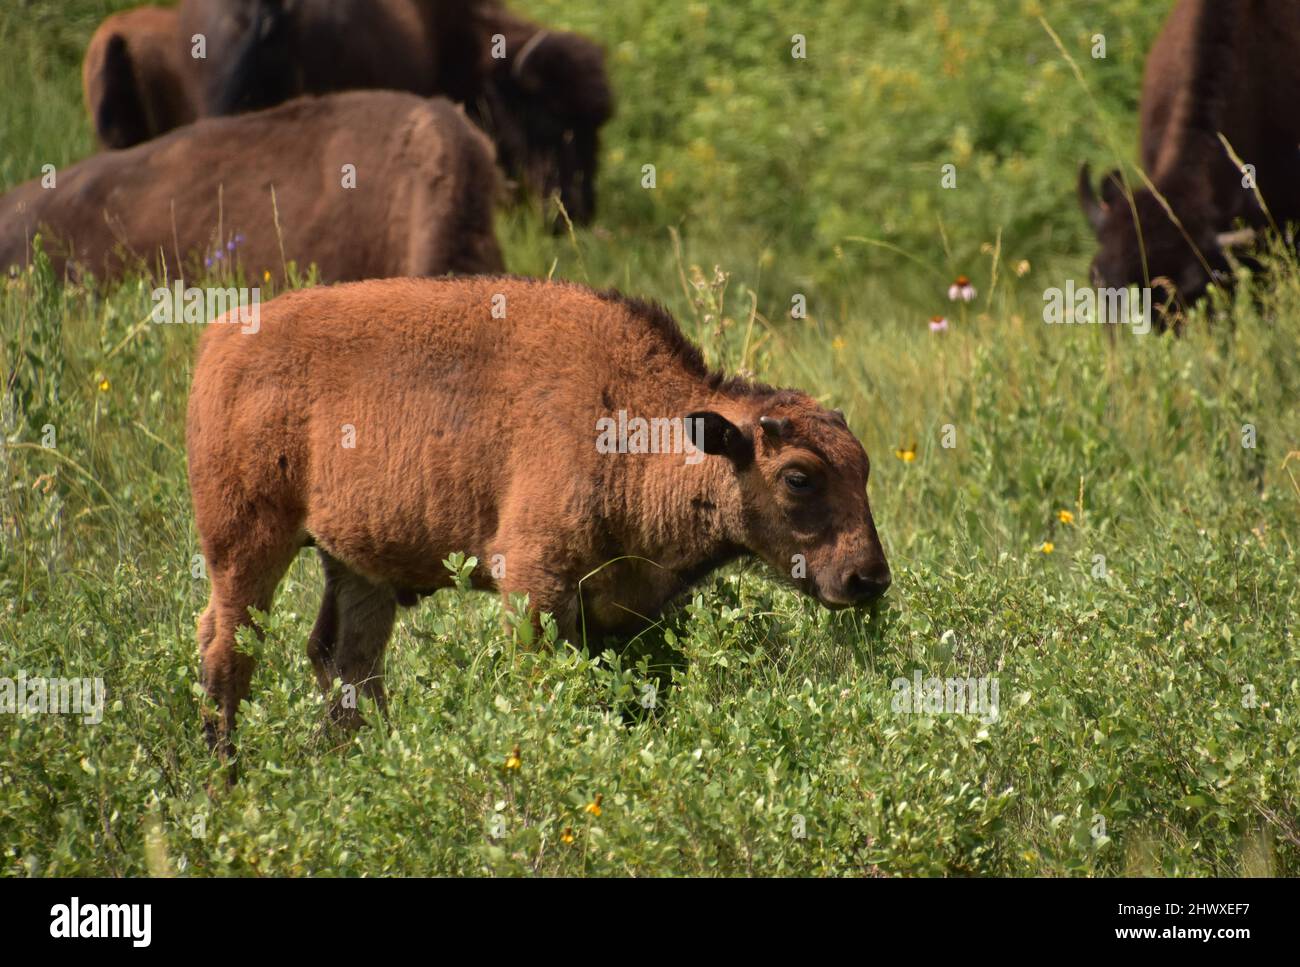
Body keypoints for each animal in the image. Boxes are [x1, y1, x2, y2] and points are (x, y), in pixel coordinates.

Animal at [186, 276, 891, 756]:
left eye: (863, 469)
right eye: (798, 477)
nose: (869, 579)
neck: (633, 422)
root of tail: (219, 340)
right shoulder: (534, 582)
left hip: (358, 567)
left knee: (344, 659)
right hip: (247, 543)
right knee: (227, 648)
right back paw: (226, 776)